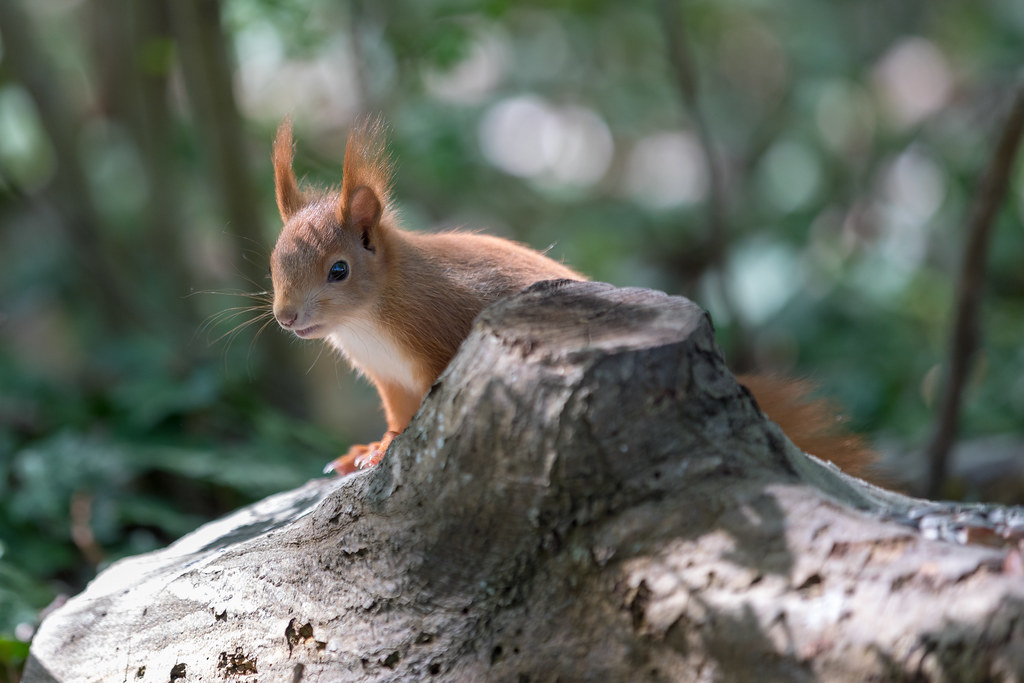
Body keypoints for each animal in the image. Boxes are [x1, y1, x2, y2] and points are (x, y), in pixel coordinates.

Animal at [268, 118, 874, 478]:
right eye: (274, 259)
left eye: (339, 270)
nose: (286, 318)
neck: (370, 319)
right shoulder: (389, 378)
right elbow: (397, 416)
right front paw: (370, 448)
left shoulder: (438, 345)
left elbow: (423, 417)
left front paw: (387, 450)